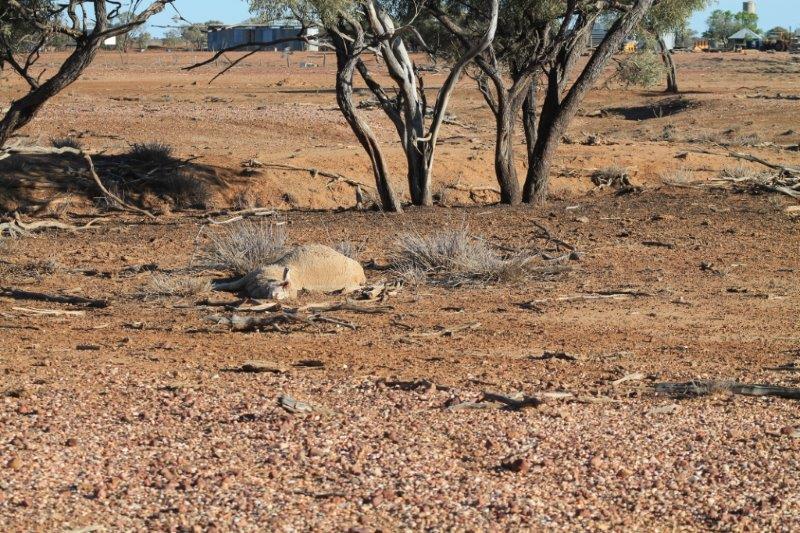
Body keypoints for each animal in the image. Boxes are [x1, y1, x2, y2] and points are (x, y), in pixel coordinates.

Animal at [213, 244, 366, 300]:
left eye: (286, 286)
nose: (276, 296)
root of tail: (361, 273)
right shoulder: (250, 275)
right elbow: (231, 284)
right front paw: (215, 286)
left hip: (352, 280)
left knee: (355, 287)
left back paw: (343, 291)